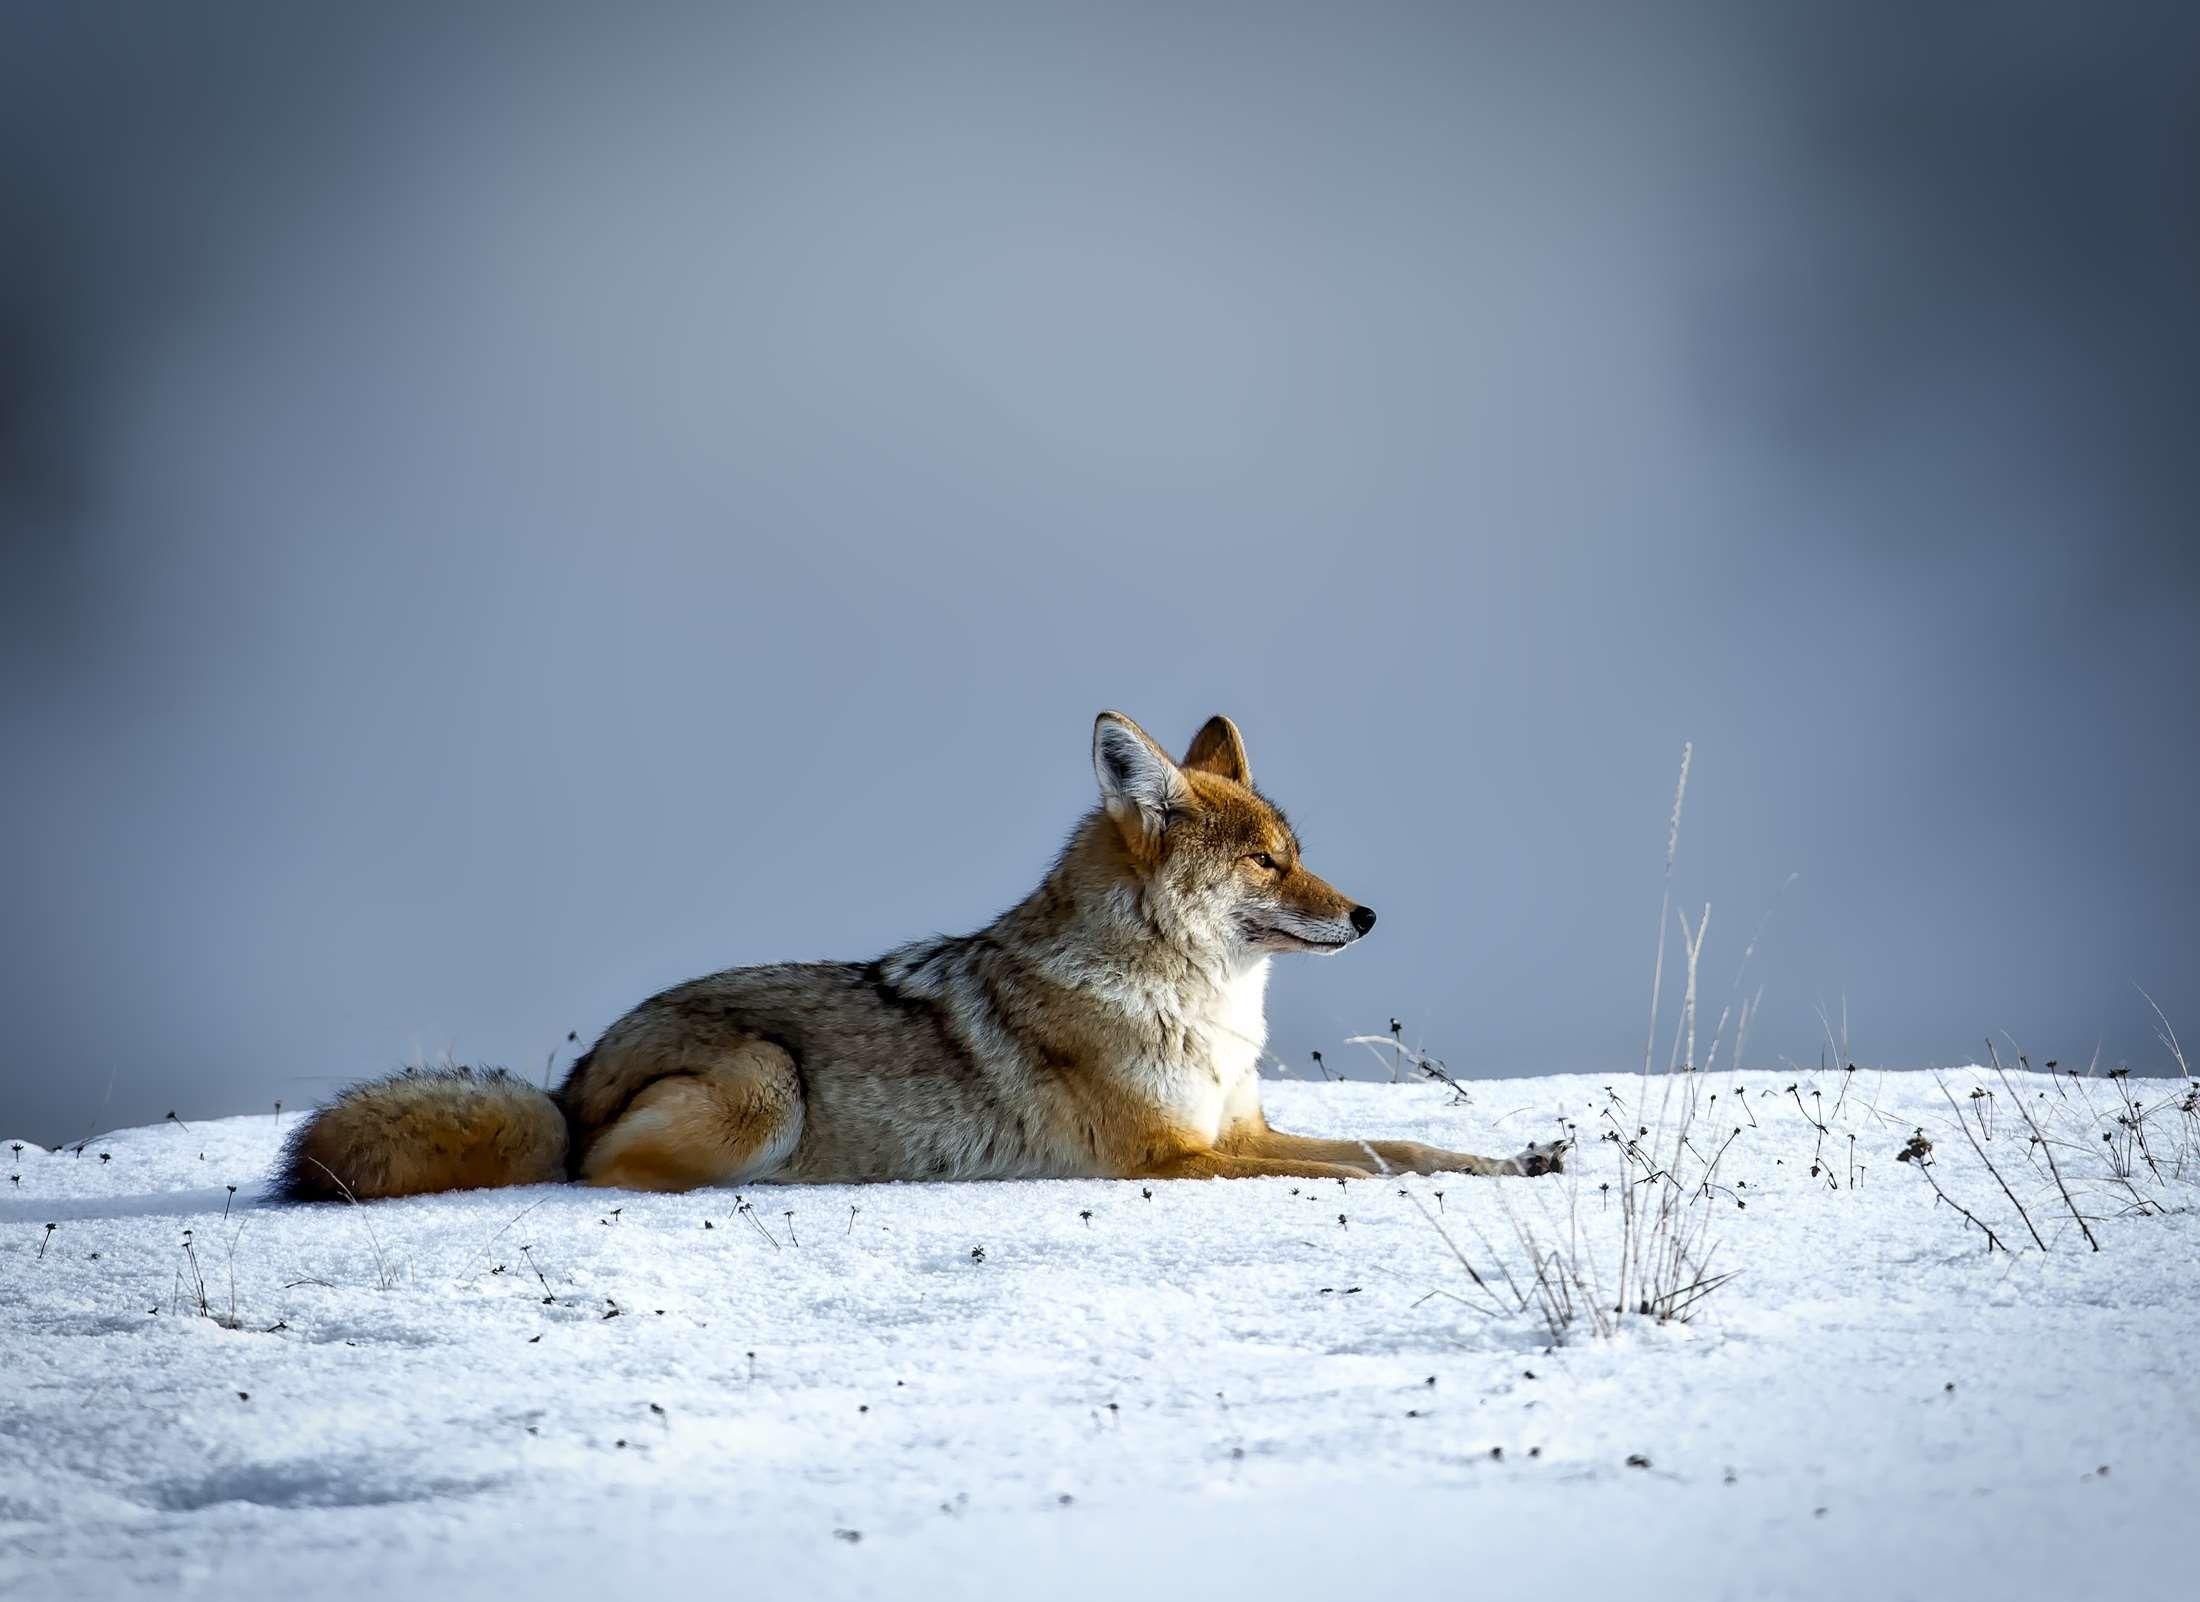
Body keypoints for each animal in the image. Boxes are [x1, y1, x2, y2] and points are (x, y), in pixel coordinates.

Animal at [273, 711, 1564, 1200]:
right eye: (1264, 862)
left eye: (1298, 854)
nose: (1369, 915)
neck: (1196, 1008)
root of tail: (568, 1084)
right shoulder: (1173, 1156)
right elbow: (1357, 1172)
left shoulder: (1237, 1130)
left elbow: (1401, 1145)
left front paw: (1518, 1163)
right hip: (763, 1083)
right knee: (601, 1176)